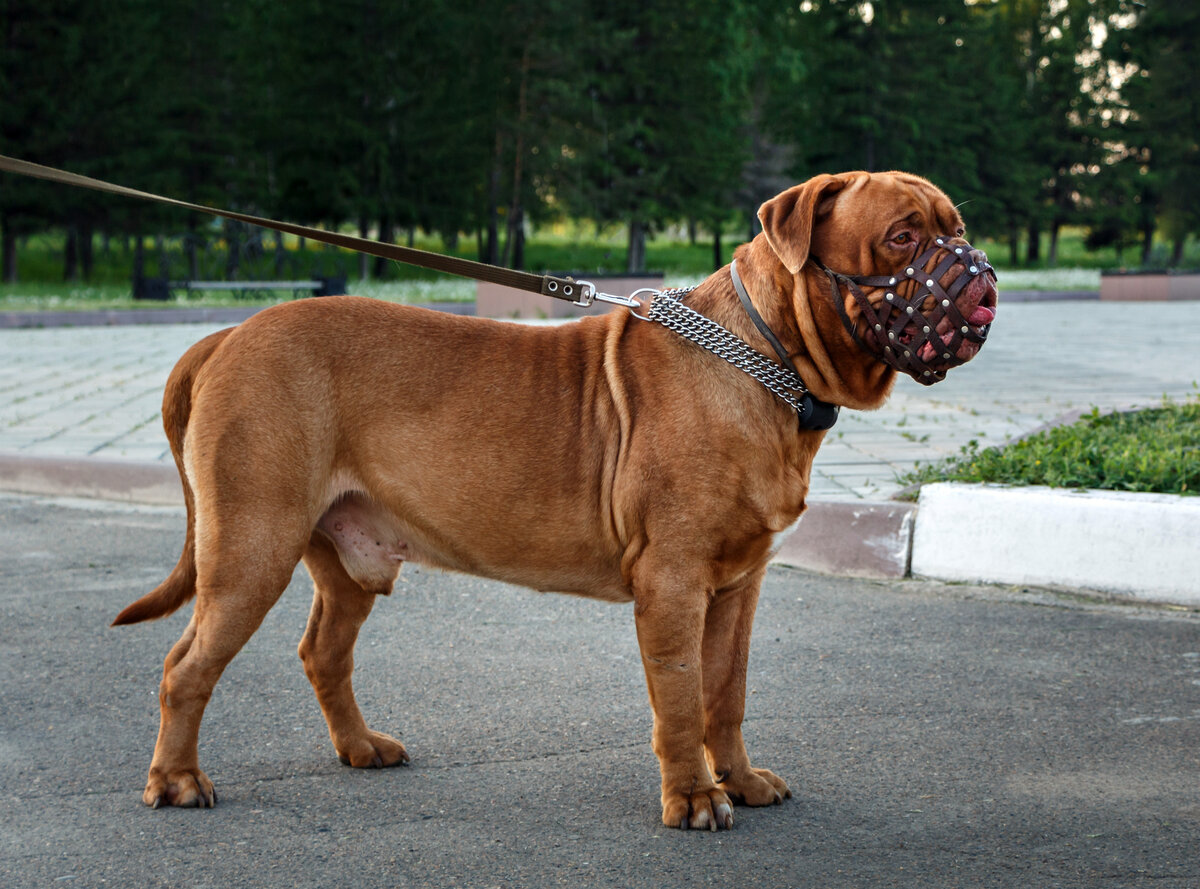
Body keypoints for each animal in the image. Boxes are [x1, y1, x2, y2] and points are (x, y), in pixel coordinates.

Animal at [114, 171, 993, 825]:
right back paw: (176, 780)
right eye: (904, 235)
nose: (982, 277)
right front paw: (694, 797)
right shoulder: (674, 582)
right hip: (250, 548)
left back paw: (360, 746)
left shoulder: (738, 584)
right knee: (184, 665)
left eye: (958, 225)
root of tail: (227, 334)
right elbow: (681, 696)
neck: (761, 353)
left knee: (322, 651)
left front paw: (739, 780)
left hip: (344, 555)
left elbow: (727, 692)